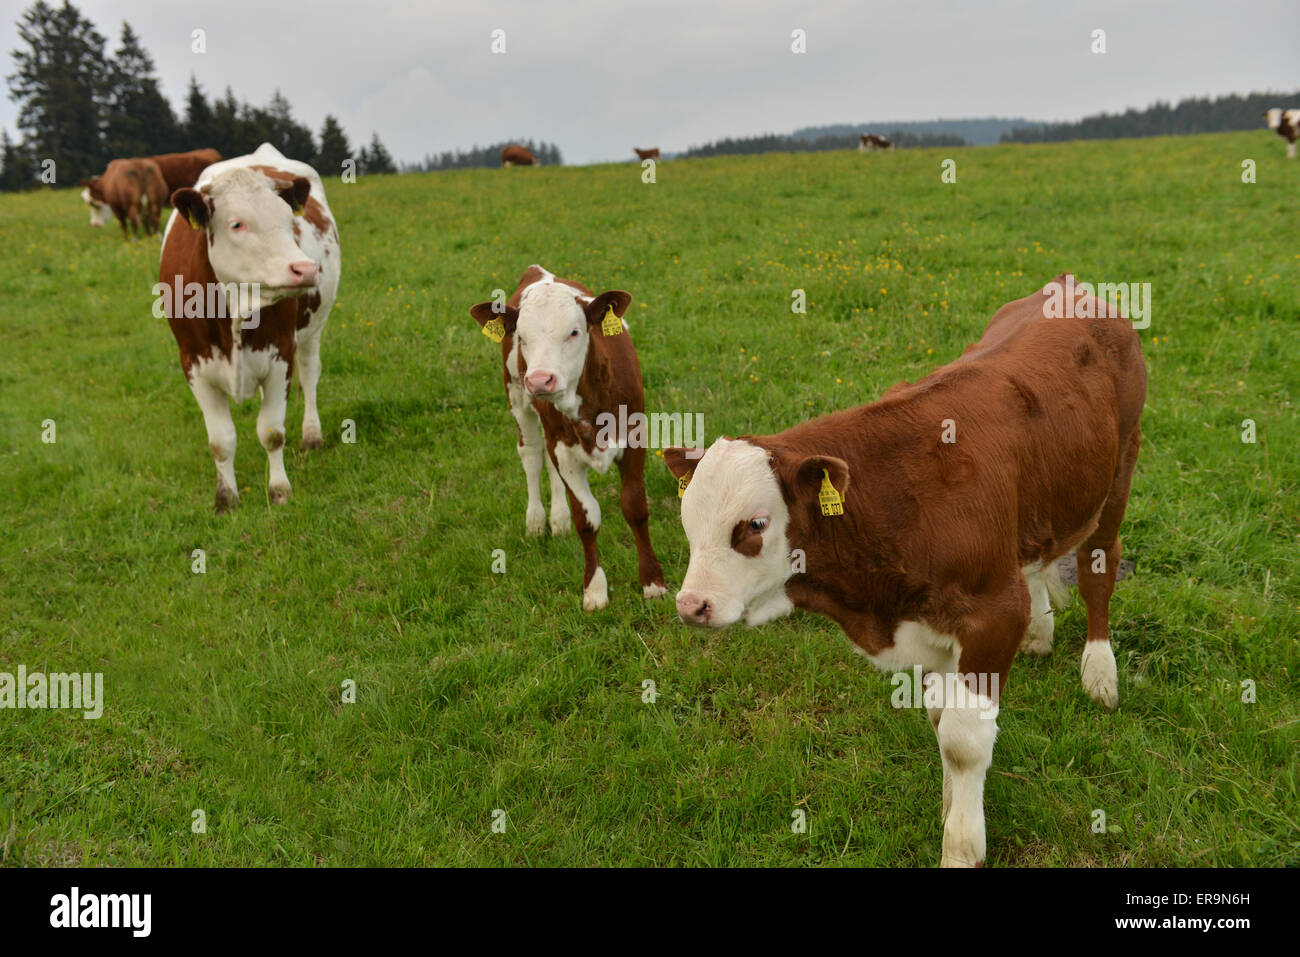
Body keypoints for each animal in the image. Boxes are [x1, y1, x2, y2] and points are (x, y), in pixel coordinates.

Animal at [159, 142, 341, 512]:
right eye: (237, 224)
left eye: (289, 221)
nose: (305, 268)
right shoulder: (194, 364)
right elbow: (221, 440)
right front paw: (226, 499)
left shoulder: (281, 354)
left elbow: (271, 431)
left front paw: (280, 491)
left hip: (312, 329)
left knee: (310, 374)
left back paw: (312, 436)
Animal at [470, 265, 667, 611]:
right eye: (522, 338)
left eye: (575, 332)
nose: (539, 380)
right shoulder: (563, 448)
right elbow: (586, 519)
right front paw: (595, 590)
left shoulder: (634, 437)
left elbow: (635, 507)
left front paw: (653, 583)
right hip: (519, 400)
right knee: (532, 455)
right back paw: (537, 520)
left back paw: (557, 520)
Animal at [662, 274, 1146, 867]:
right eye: (688, 519)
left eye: (753, 524)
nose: (692, 605)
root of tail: (1069, 286)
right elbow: (939, 719)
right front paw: (950, 807)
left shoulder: (992, 615)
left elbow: (962, 740)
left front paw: (962, 844)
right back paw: (1040, 630)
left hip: (1120, 470)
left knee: (1099, 568)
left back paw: (1100, 670)